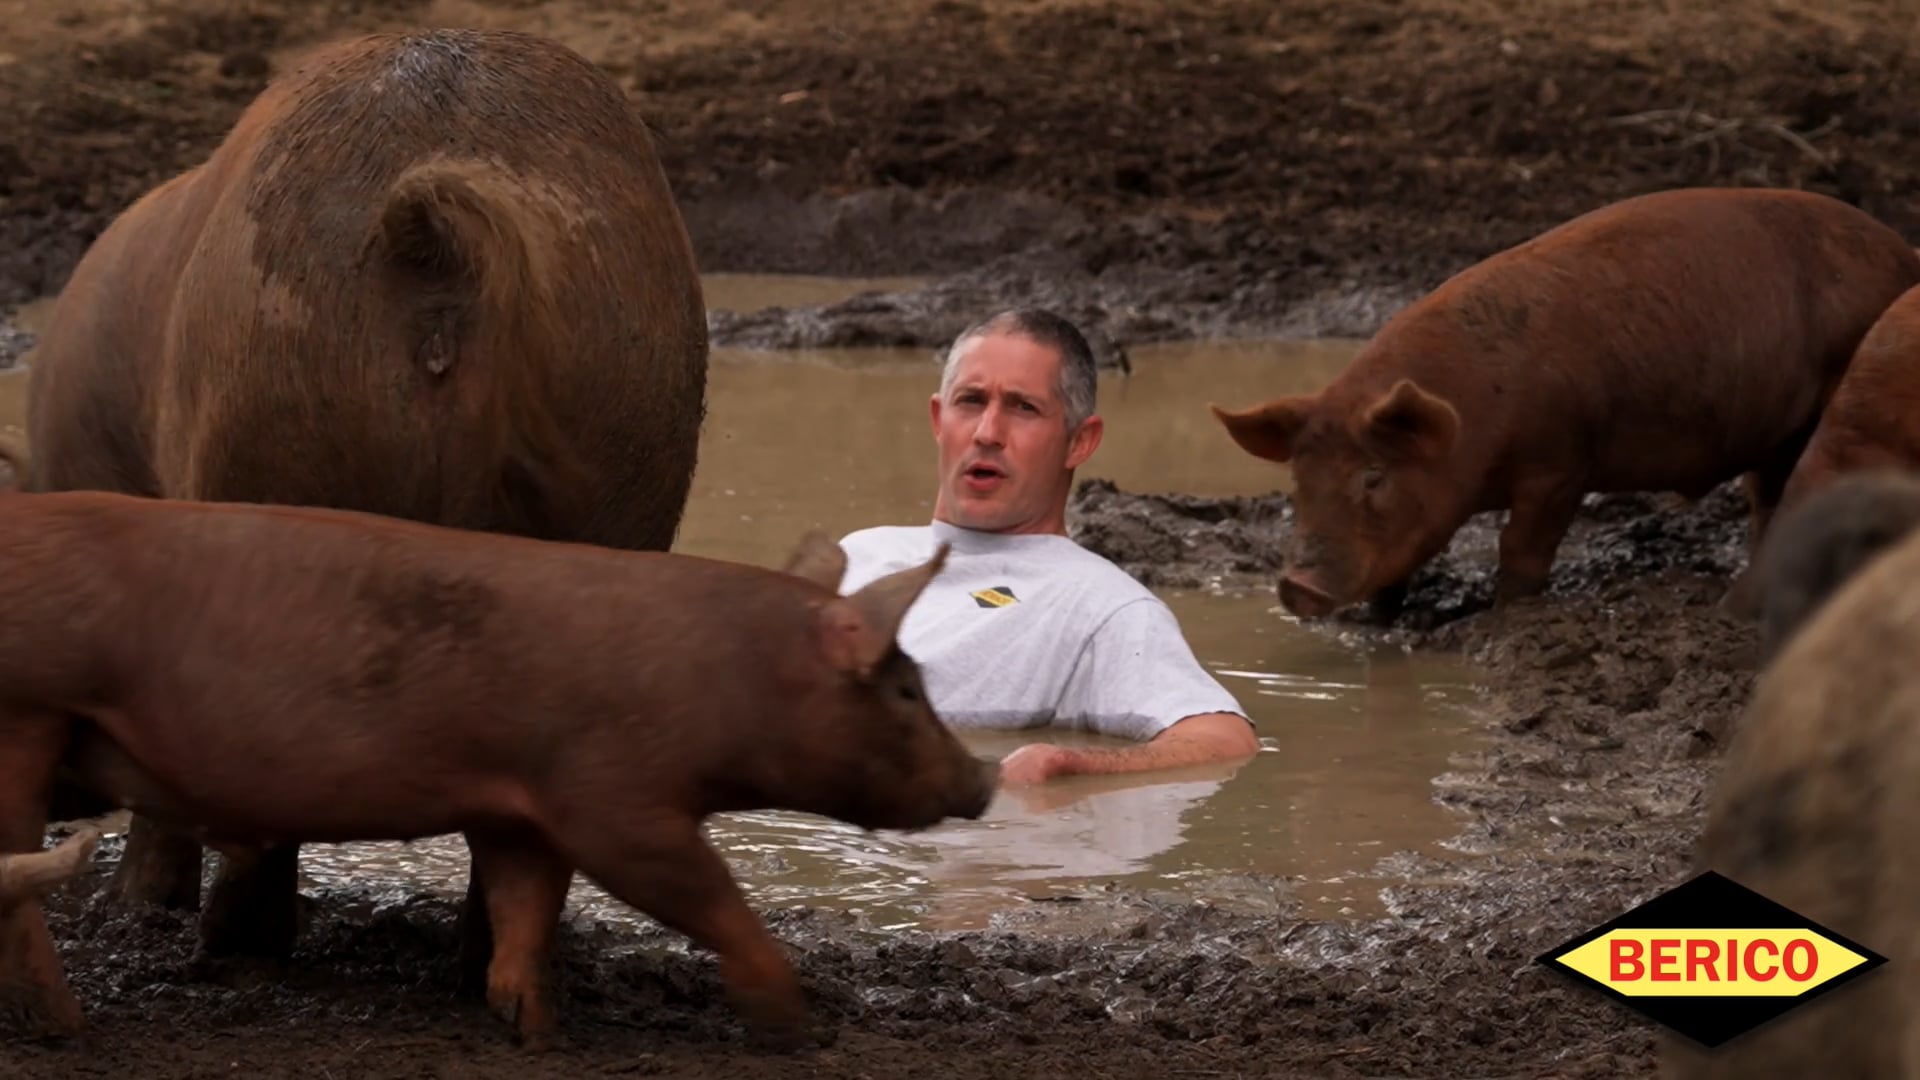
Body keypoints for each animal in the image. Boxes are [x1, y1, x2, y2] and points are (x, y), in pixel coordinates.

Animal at [0, 484, 997, 1048]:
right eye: (904, 688)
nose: (985, 781)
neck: (729, 678)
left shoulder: (524, 811)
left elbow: (528, 908)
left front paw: (534, 1029)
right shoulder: (615, 798)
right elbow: (703, 892)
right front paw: (794, 1029)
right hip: (27, 712)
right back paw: (67, 1030)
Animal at [20, 27, 711, 972]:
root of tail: (442, 225)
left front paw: (136, 911)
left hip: (271, 418)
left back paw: (232, 952)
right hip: (626, 425)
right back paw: (480, 968)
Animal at [1209, 187, 1920, 620]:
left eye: (1373, 477)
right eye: (1298, 480)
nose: (1294, 585)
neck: (1476, 423)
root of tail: (1899, 249)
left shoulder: (1560, 463)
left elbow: (1521, 548)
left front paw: (1503, 618)